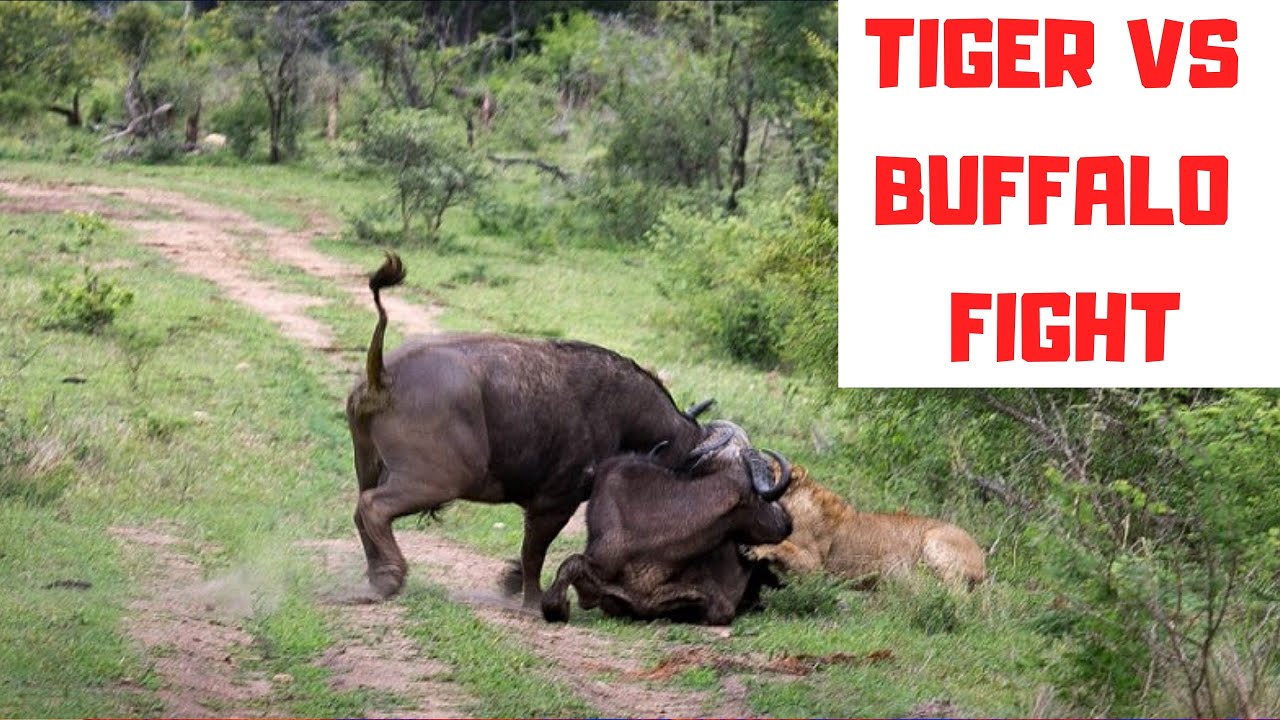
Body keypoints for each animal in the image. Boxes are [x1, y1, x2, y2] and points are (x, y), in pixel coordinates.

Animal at [346, 253, 726, 606]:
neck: (620, 412)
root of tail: (386, 375)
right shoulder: (554, 502)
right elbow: (535, 552)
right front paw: (533, 601)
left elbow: (530, 551)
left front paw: (512, 582)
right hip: (439, 480)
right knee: (373, 507)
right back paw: (390, 578)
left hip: (370, 465)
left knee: (360, 510)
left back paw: (374, 577)